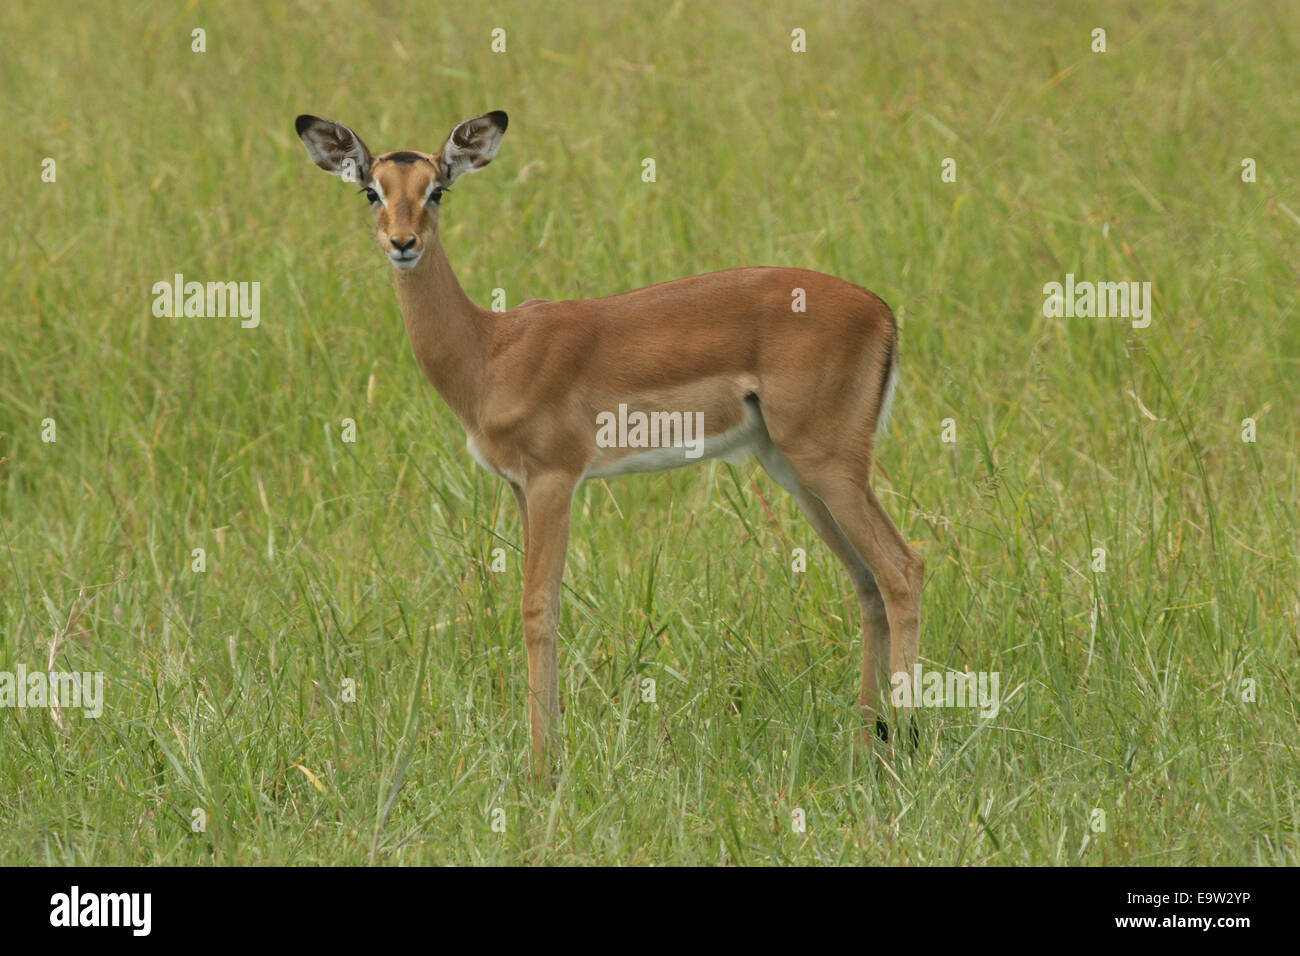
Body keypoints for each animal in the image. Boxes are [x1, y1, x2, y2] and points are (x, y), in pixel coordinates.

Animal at [295, 110, 923, 779]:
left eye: (437, 189)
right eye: (372, 191)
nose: (403, 243)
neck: (491, 351)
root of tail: (883, 312)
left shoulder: (555, 479)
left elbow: (539, 609)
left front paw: (542, 770)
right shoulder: (520, 487)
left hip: (829, 465)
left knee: (903, 570)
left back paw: (908, 741)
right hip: (794, 470)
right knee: (867, 582)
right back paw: (865, 747)